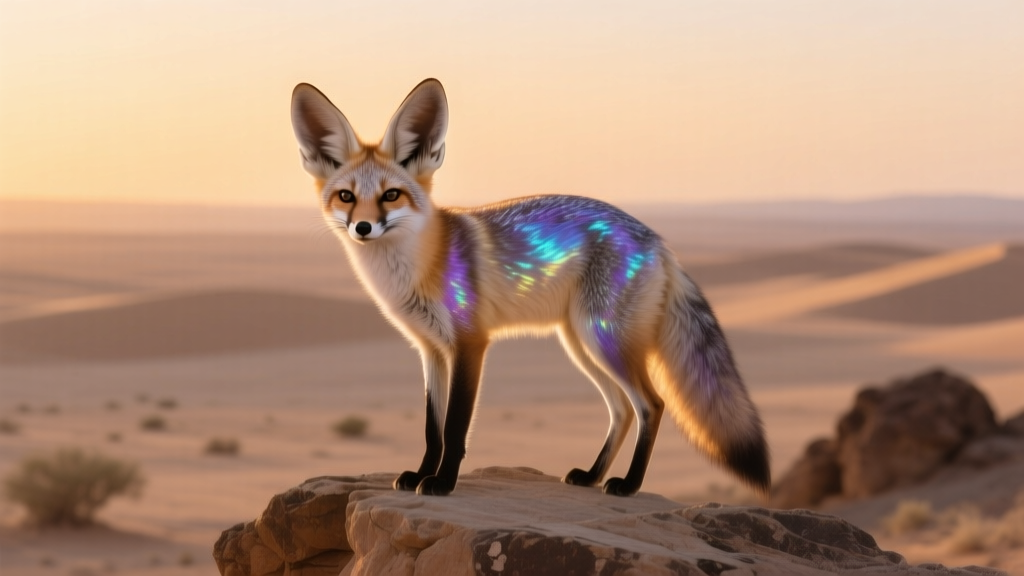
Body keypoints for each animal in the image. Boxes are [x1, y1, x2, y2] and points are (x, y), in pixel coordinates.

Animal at [289, 79, 770, 497]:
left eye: (391, 195)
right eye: (347, 197)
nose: (363, 228)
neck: (419, 267)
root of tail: (660, 242)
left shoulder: (470, 343)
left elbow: (455, 428)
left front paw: (442, 483)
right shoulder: (430, 350)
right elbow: (432, 429)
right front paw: (421, 475)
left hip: (604, 340)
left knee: (651, 405)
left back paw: (628, 486)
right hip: (582, 343)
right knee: (621, 409)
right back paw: (591, 476)